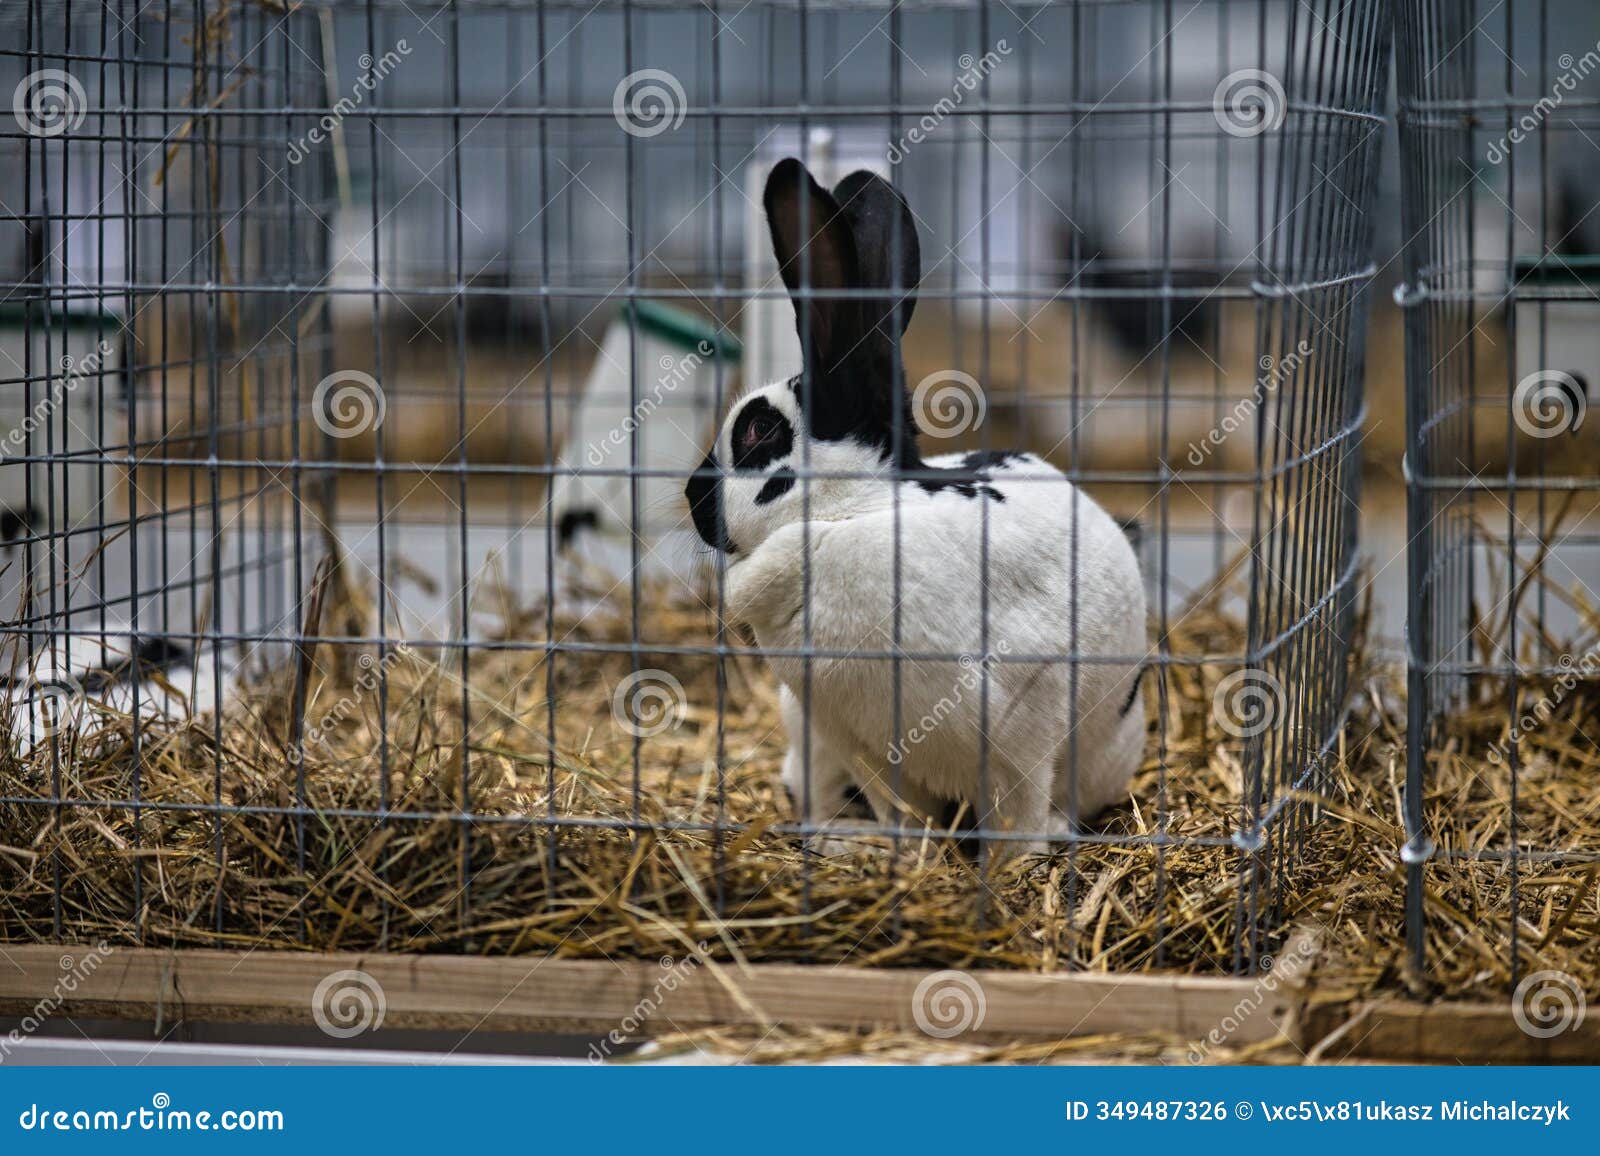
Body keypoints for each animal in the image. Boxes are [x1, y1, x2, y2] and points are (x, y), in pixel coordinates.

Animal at [685, 158, 1147, 856]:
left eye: (758, 431)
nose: (692, 498)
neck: (847, 517)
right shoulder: (859, 742)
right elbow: (901, 809)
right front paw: (907, 853)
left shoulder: (1024, 728)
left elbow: (1021, 809)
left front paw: (1018, 865)